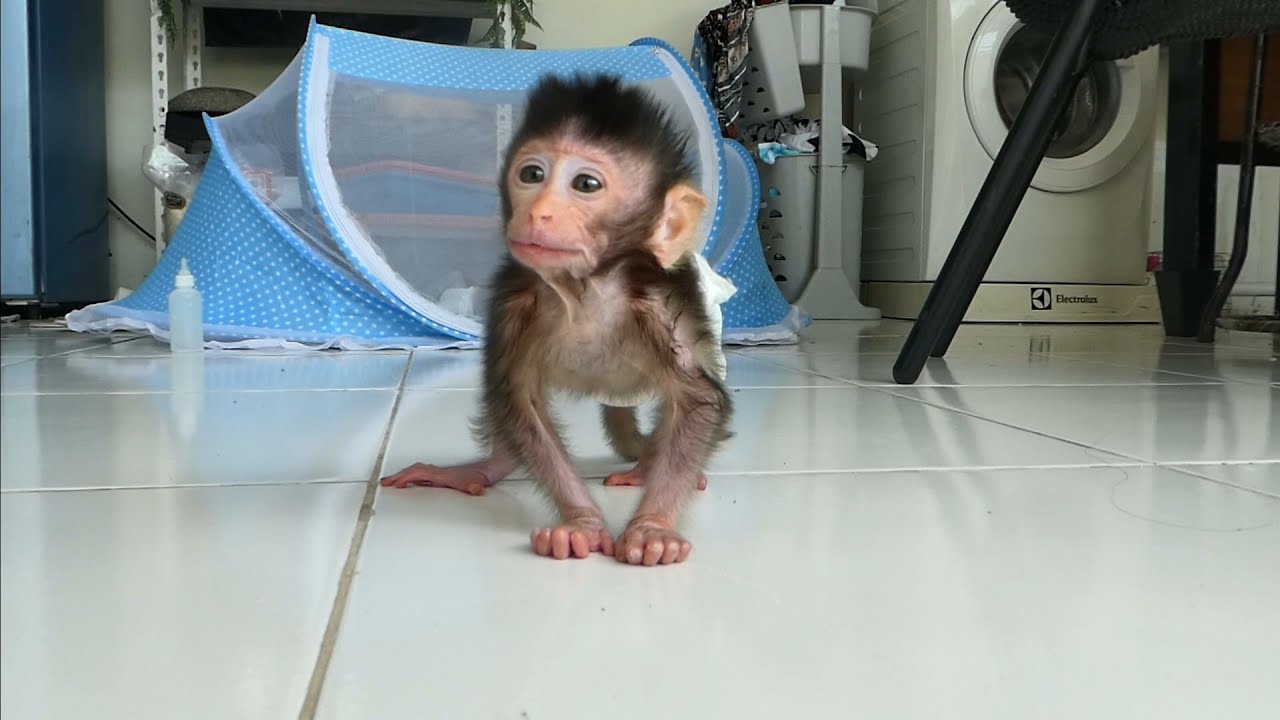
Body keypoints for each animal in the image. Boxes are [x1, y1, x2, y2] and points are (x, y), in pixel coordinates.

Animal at [380, 73, 734, 567]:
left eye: (585, 184)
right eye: (532, 175)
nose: (538, 211)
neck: (583, 292)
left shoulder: (659, 308)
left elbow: (698, 402)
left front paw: (652, 528)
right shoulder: (511, 305)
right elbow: (518, 400)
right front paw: (582, 524)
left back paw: (647, 467)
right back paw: (483, 469)